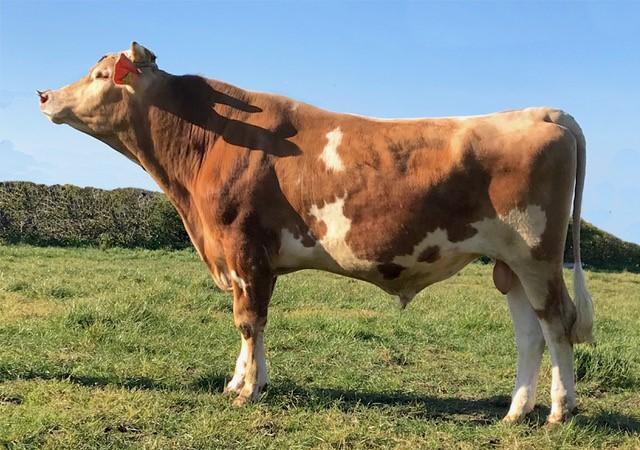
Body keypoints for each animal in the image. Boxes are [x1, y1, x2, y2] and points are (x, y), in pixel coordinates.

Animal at [39, 42, 594, 424]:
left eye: (100, 74)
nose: (44, 94)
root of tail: (541, 112)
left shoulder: (243, 249)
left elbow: (248, 321)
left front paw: (247, 391)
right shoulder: (244, 259)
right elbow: (251, 323)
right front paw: (241, 382)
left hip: (536, 254)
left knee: (557, 322)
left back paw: (559, 411)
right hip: (508, 264)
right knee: (529, 332)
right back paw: (516, 412)